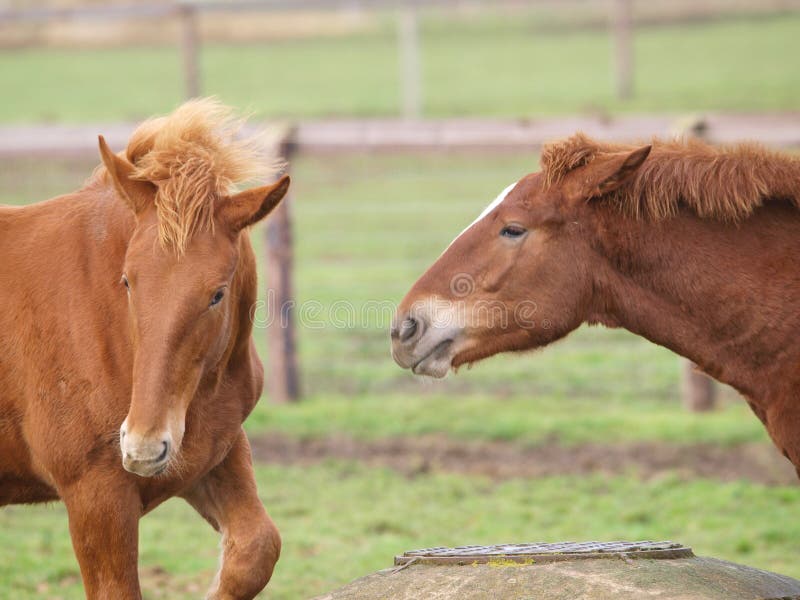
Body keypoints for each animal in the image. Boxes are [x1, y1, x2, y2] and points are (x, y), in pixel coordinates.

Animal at [0, 99, 290, 599]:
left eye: (217, 294)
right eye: (127, 281)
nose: (142, 449)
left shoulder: (211, 452)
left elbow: (255, 549)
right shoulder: (97, 495)